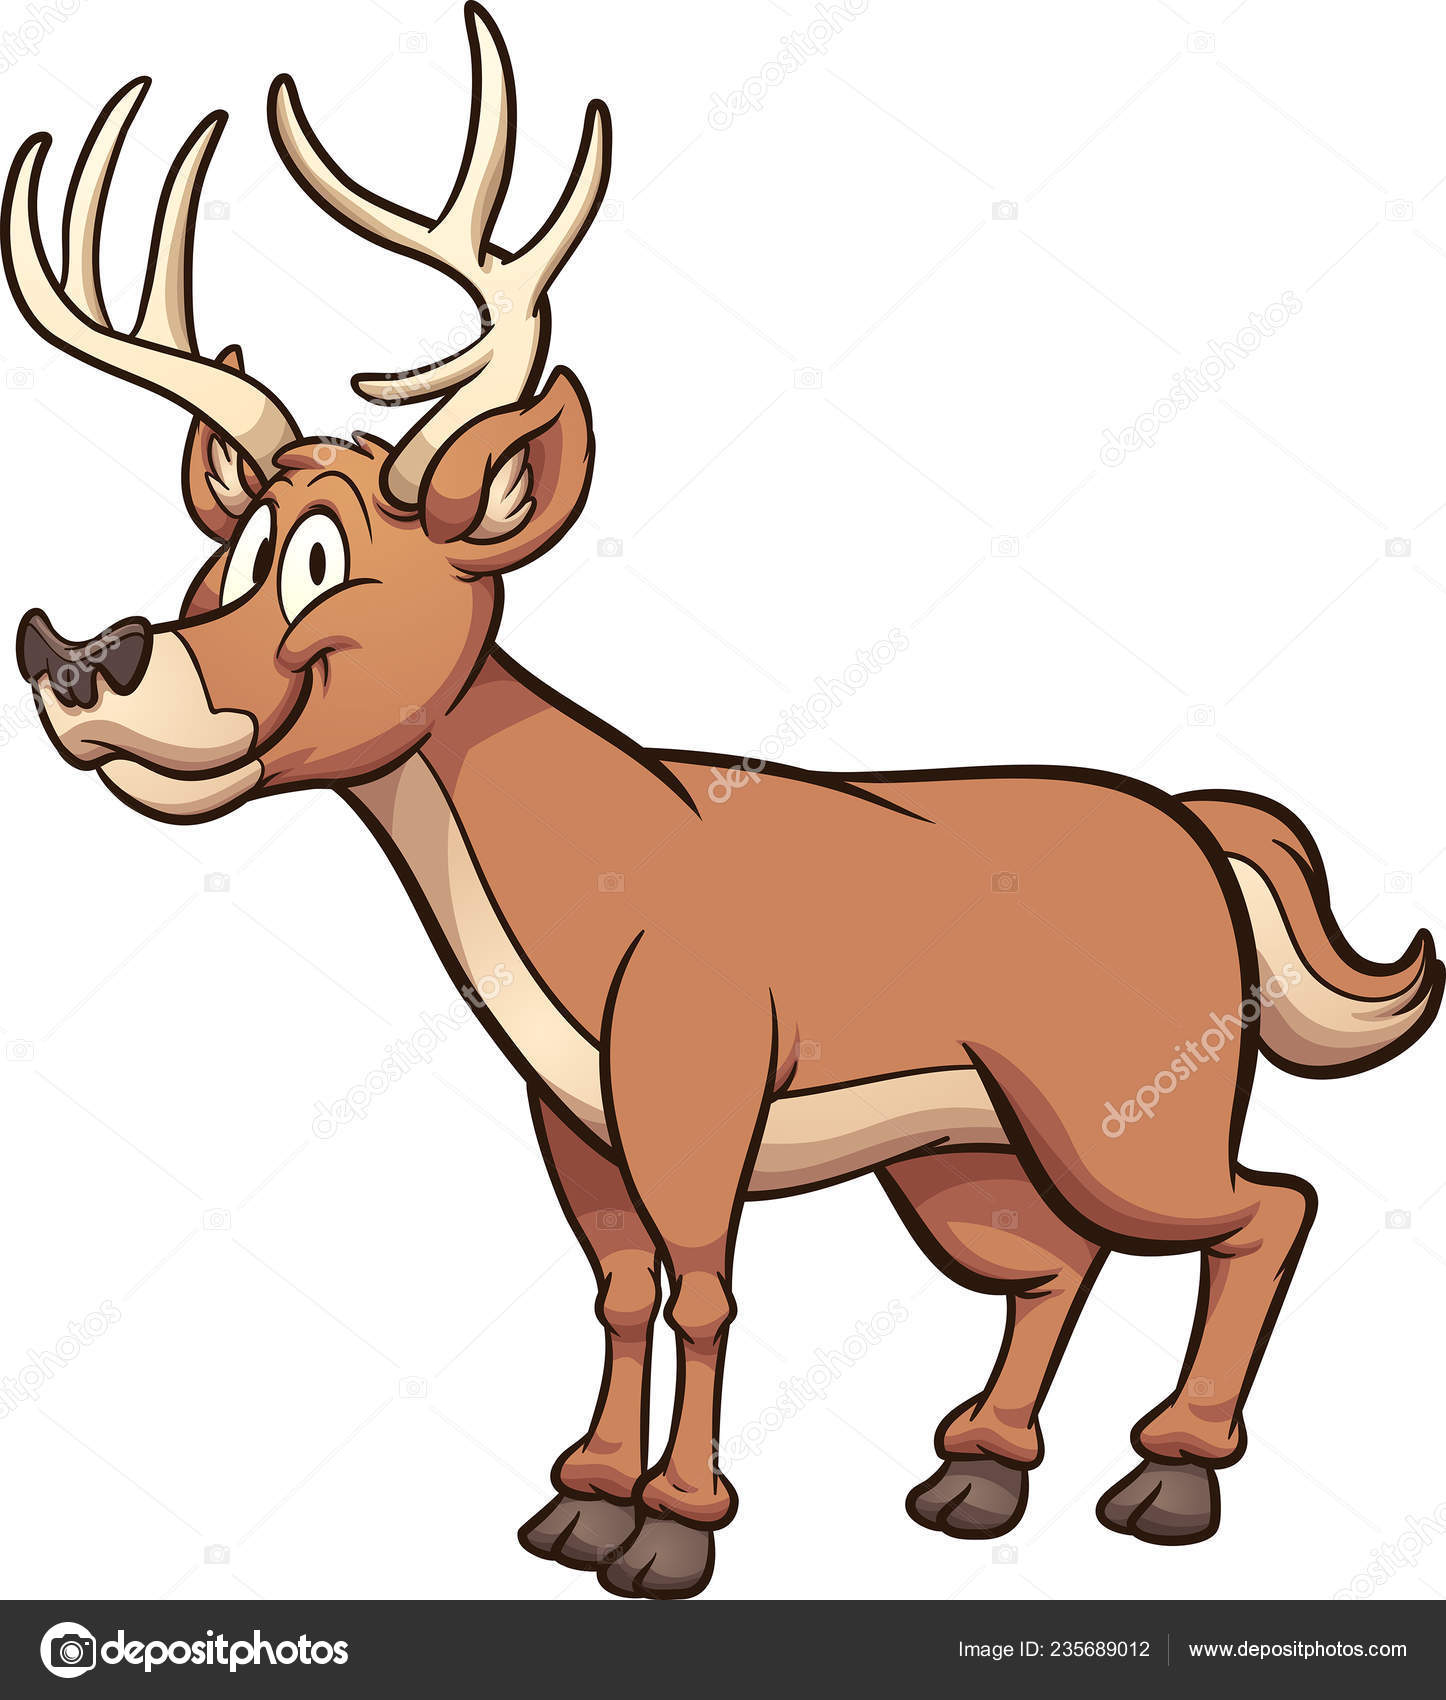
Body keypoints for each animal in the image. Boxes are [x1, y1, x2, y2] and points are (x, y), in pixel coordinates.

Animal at [4, 4, 1439, 1602]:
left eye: (321, 561)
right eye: (219, 560)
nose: (80, 658)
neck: (578, 872)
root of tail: (1200, 827)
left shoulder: (697, 1081)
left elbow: (703, 1288)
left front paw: (673, 1529)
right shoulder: (573, 1112)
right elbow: (623, 1287)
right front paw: (578, 1497)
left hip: (1129, 1113)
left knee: (1265, 1207)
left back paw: (1171, 1477)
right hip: (967, 1153)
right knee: (1059, 1259)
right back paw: (976, 1475)